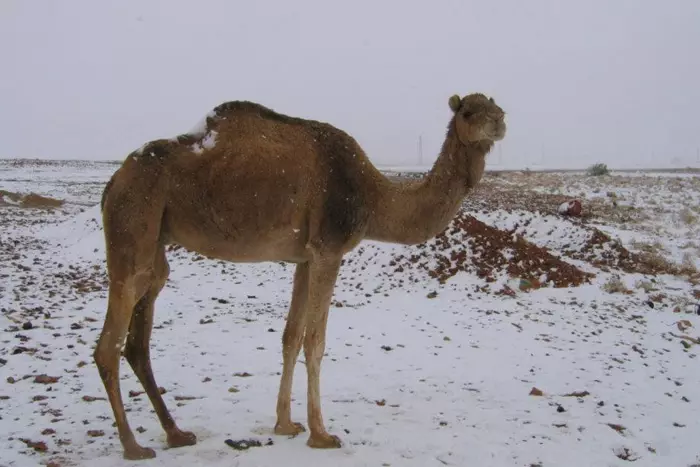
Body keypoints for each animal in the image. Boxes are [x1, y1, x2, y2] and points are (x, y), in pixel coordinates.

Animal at [94, 92, 508, 460]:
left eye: (496, 106)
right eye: (468, 112)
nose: (500, 122)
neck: (374, 197)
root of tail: (113, 182)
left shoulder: (305, 258)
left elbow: (291, 336)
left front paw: (286, 424)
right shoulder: (329, 249)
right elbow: (316, 341)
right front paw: (321, 434)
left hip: (155, 245)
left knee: (138, 338)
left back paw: (176, 433)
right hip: (133, 222)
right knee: (109, 344)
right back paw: (133, 446)